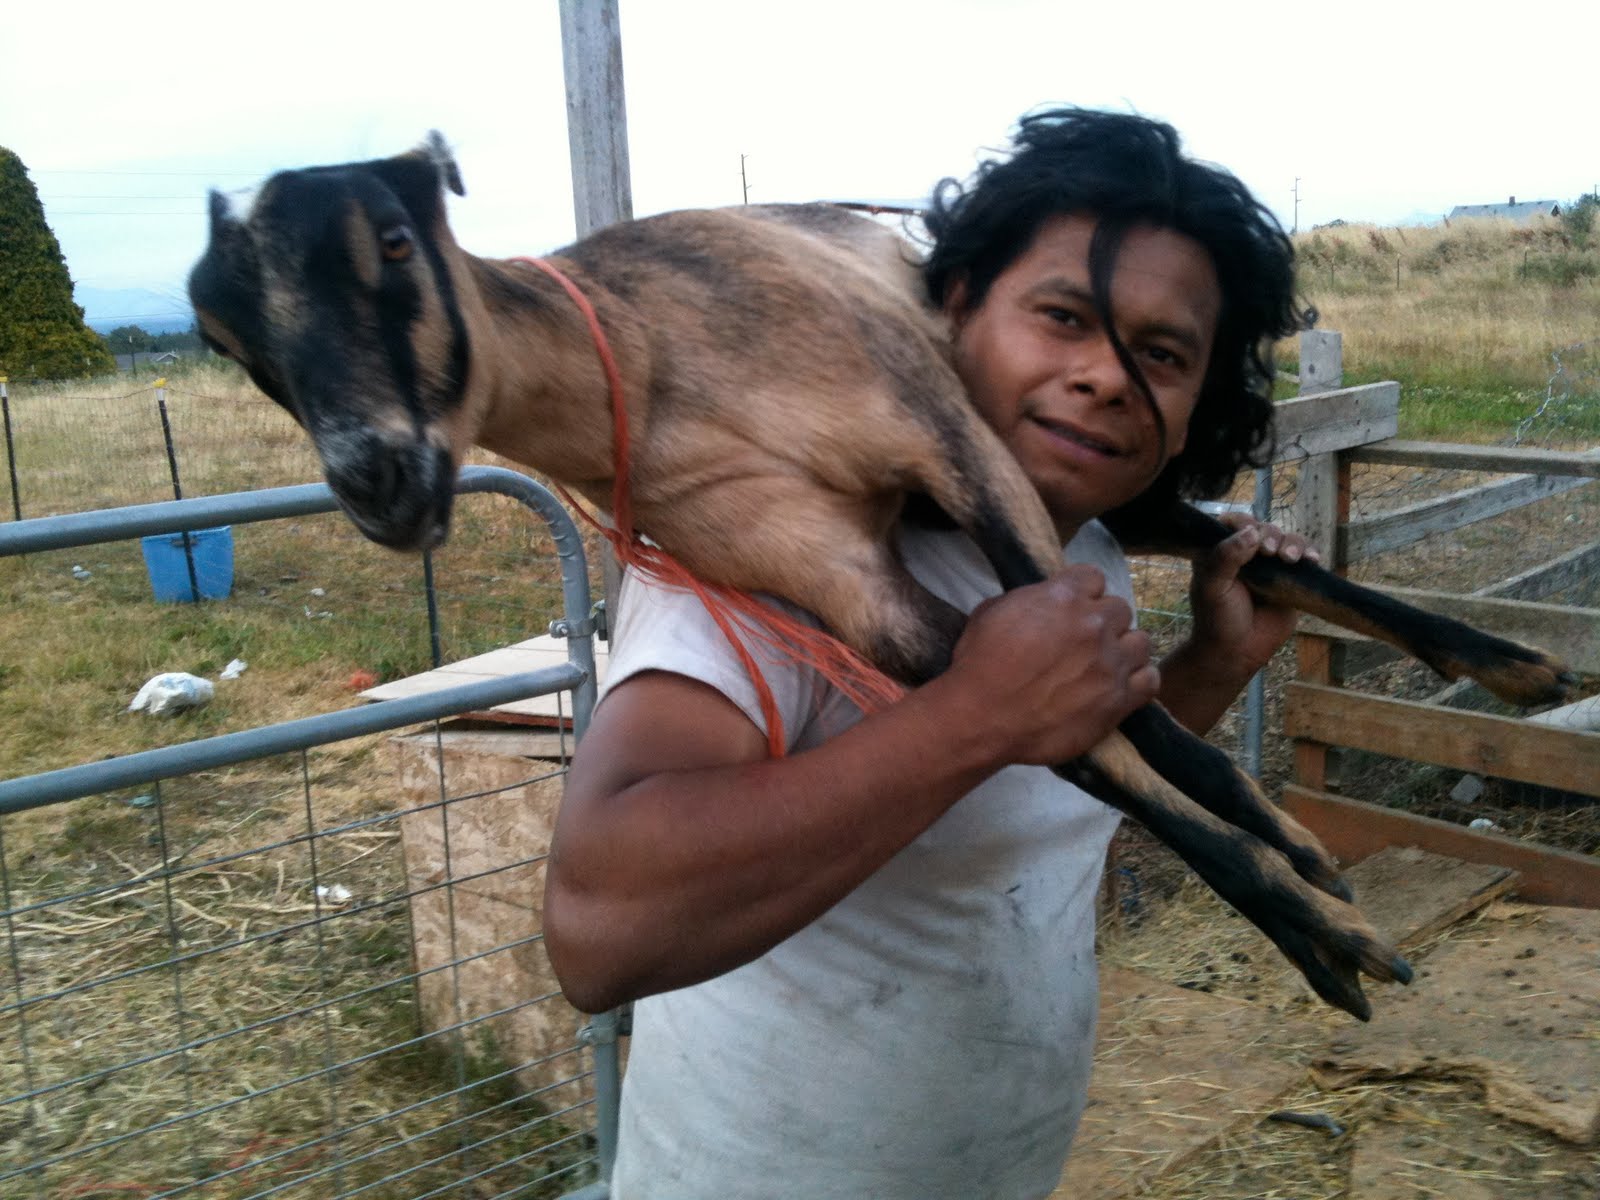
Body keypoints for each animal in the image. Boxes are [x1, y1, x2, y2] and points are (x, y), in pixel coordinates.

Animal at [188, 135, 1576, 1021]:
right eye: (221, 334)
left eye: (392, 239)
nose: (376, 477)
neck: (653, 362)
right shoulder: (837, 575)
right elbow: (1097, 747)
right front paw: (1312, 918)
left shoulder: (952, 445)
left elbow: (1156, 740)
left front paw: (1308, 877)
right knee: (1220, 557)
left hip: (1065, 457)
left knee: (1218, 542)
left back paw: (1516, 662)